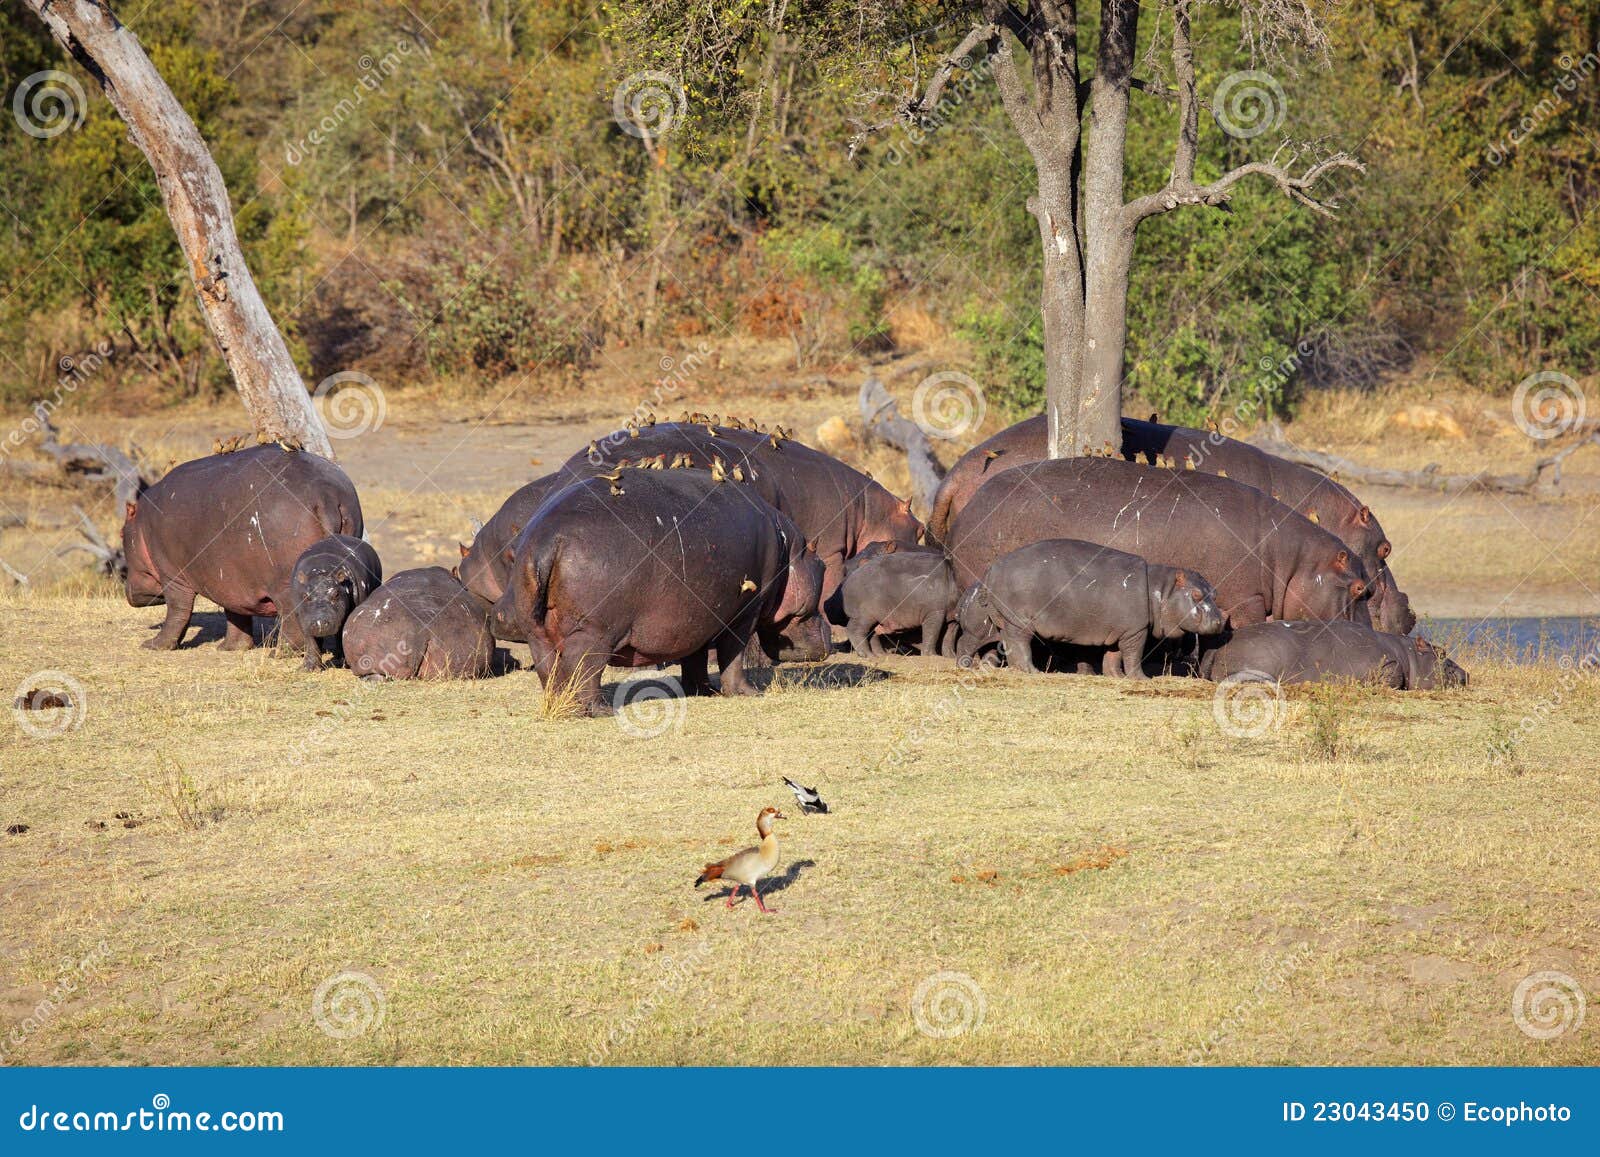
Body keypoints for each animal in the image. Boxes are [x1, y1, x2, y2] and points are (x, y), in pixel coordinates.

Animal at [122, 445, 363, 651]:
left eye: (121, 534)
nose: (127, 590)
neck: (141, 522)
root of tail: (326, 495)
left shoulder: (172, 575)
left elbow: (177, 611)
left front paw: (152, 645)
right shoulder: (230, 580)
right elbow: (236, 613)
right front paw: (229, 648)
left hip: (285, 583)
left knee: (290, 615)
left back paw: (280, 652)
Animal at [287, 535, 383, 671]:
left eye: (336, 594)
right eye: (305, 596)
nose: (320, 622)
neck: (321, 571)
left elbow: (342, 634)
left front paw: (342, 663)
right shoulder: (300, 616)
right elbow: (310, 639)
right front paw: (308, 668)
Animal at [491, 470, 827, 715]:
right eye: (822, 566)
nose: (827, 635)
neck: (789, 550)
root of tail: (548, 540)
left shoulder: (696, 619)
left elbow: (695, 657)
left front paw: (702, 691)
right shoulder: (744, 613)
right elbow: (733, 654)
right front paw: (747, 693)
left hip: (537, 632)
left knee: (549, 668)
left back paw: (564, 705)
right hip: (596, 631)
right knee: (583, 665)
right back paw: (601, 710)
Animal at [953, 539, 1226, 676]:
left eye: (1214, 592)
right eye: (1196, 594)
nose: (1220, 621)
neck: (1162, 589)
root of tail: (991, 569)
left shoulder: (1119, 631)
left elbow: (1113, 656)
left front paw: (1115, 677)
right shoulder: (1136, 631)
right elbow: (1133, 655)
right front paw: (1141, 678)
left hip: (999, 622)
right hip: (1019, 621)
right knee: (1016, 644)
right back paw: (1033, 671)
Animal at [1199, 620, 1467, 689]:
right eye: (1441, 652)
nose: (1465, 673)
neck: (1406, 653)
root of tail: (1214, 649)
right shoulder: (1383, 663)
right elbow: (1393, 674)